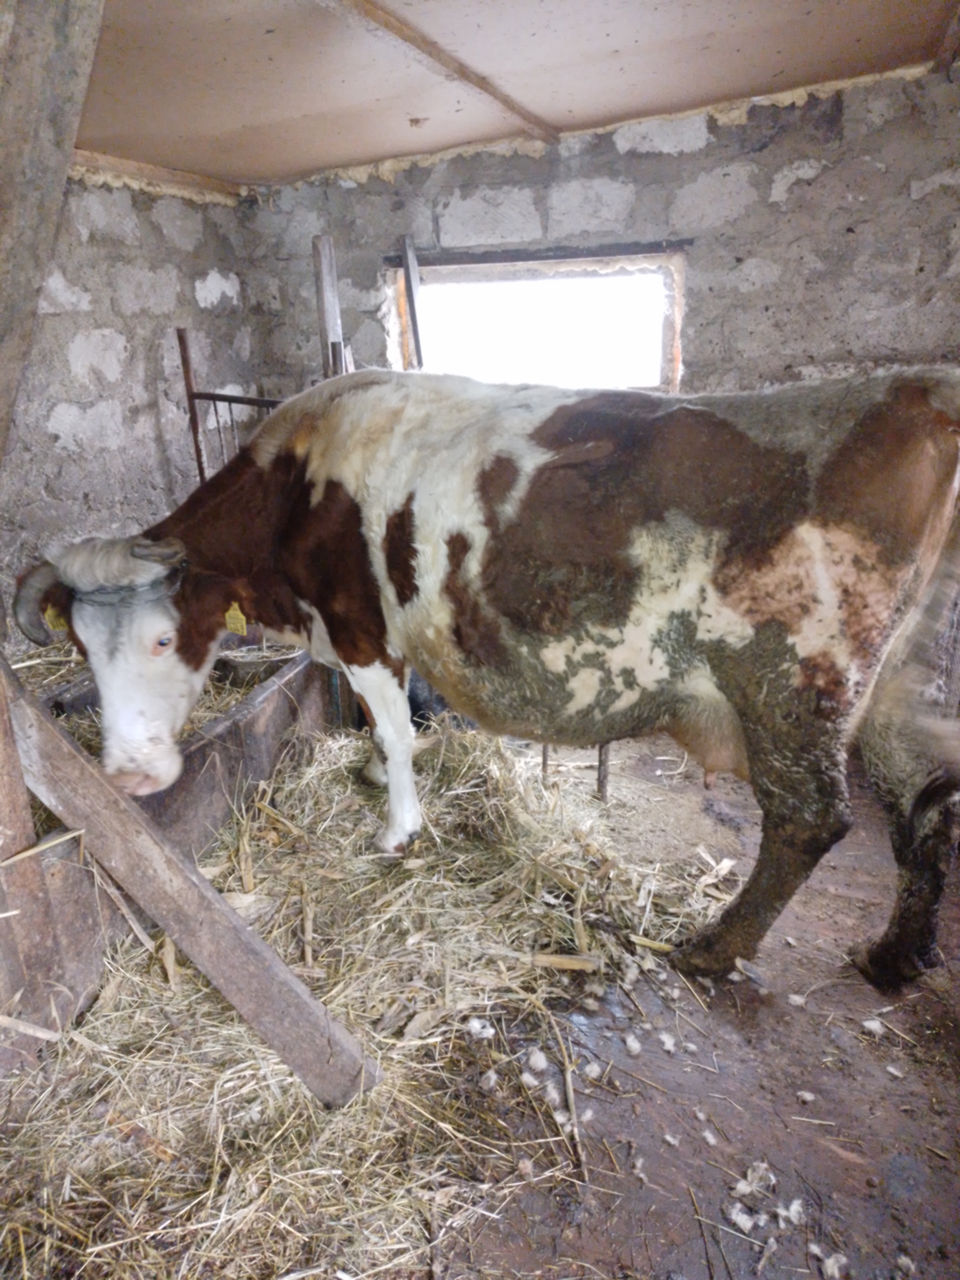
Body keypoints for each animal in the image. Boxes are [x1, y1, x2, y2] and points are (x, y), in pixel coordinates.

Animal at [13, 367, 960, 986]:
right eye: (82, 647)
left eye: (165, 640)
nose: (128, 776)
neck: (297, 483)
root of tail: (915, 387)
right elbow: (390, 722)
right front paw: (374, 779)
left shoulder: (359, 622)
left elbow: (395, 725)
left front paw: (397, 826)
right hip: (902, 693)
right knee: (930, 806)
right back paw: (896, 956)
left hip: (793, 686)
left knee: (811, 821)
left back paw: (712, 948)